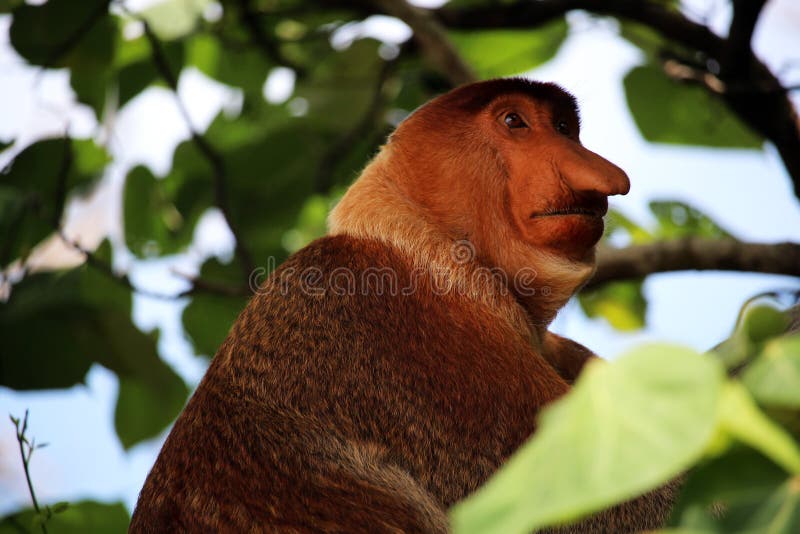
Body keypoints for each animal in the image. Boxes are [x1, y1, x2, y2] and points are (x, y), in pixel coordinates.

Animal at [130, 78, 677, 532]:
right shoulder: (401, 332)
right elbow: (597, 498)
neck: (426, 245)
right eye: (513, 121)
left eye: (564, 128)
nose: (607, 178)